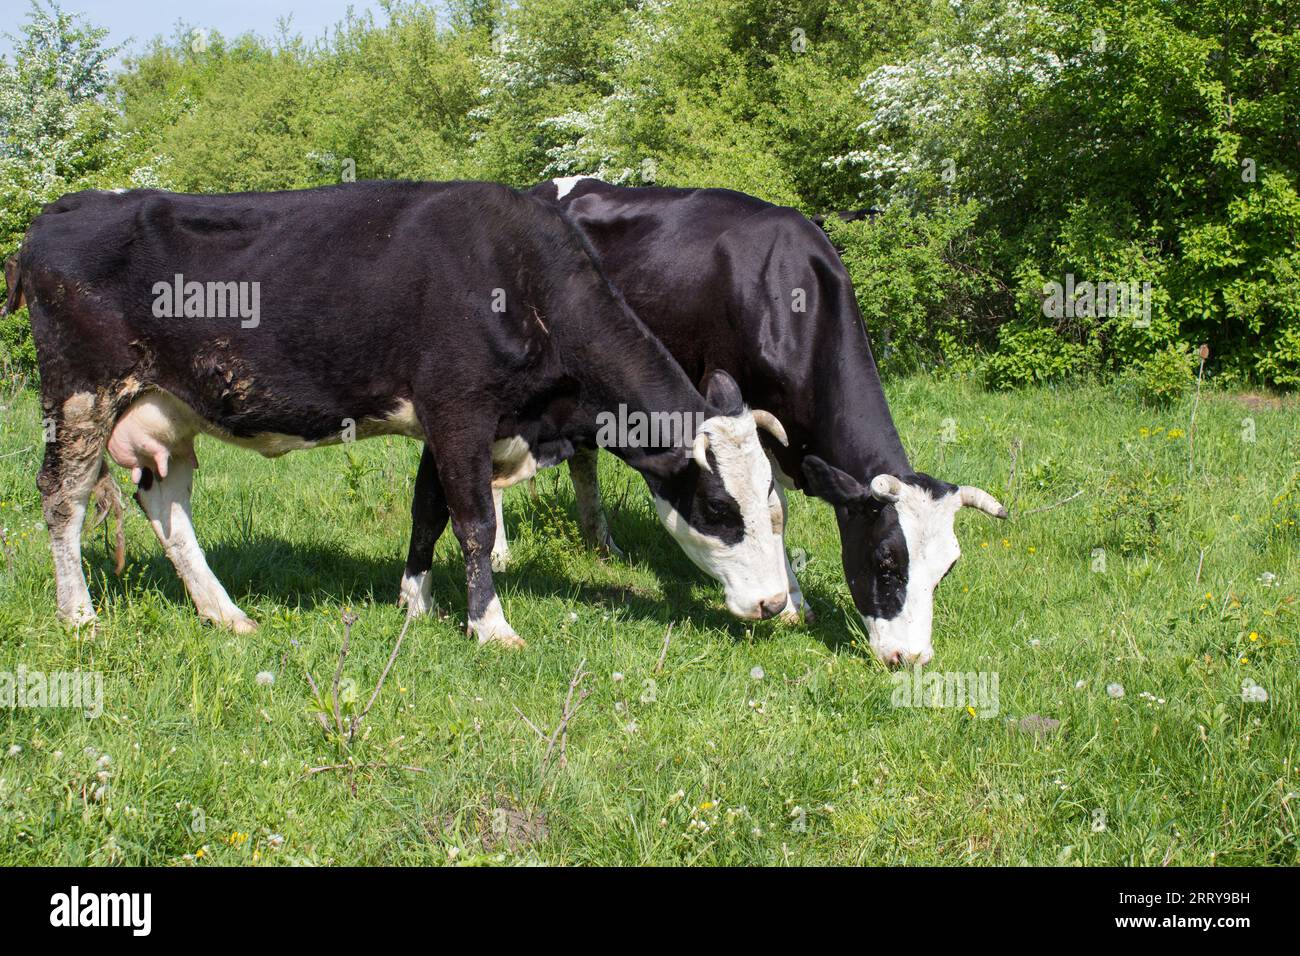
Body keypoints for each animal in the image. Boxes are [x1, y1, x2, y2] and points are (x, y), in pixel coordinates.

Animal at [9, 180, 792, 647]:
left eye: (773, 504)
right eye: (720, 509)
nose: (775, 604)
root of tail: (63, 209)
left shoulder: (446, 422)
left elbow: (428, 511)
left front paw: (416, 603)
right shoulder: (460, 410)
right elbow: (474, 524)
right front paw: (490, 626)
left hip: (166, 410)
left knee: (165, 502)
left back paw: (225, 613)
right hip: (81, 396)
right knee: (62, 498)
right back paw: (79, 614)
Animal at [405, 177, 1008, 665]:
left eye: (947, 570)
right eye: (886, 562)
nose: (912, 657)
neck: (787, 294)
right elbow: (774, 509)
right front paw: (793, 602)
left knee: (584, 460)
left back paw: (601, 543)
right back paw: (502, 550)